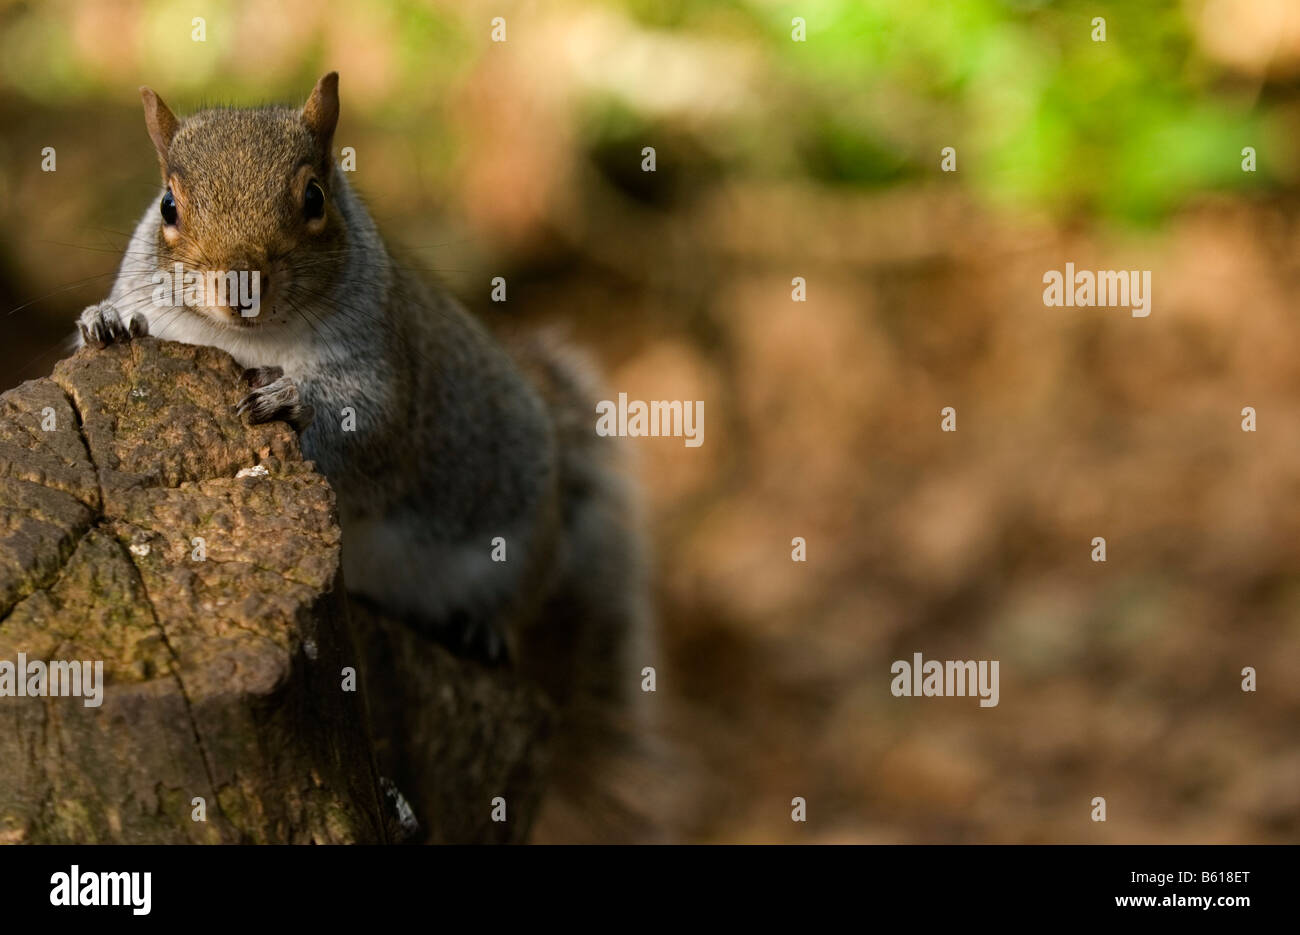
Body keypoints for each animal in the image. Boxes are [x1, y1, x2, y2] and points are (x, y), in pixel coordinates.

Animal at [74, 73, 655, 841]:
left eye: (314, 197)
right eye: (169, 205)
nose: (239, 286)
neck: (248, 343)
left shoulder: (380, 366)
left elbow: (366, 425)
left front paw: (289, 402)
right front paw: (107, 321)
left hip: (519, 540)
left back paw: (482, 627)